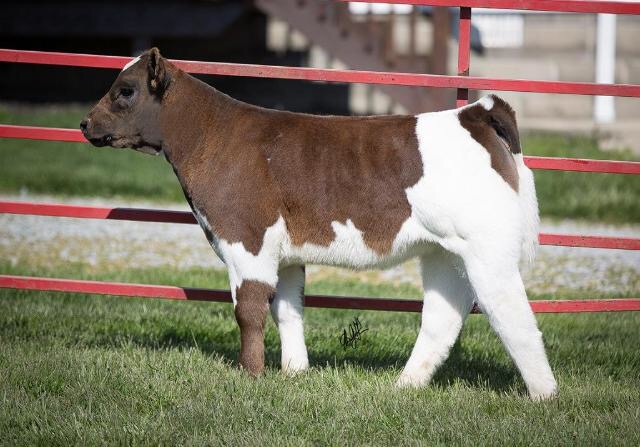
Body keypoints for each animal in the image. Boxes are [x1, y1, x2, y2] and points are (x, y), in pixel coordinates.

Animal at [81, 48, 557, 400]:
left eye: (125, 91)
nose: (85, 123)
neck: (212, 138)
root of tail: (473, 113)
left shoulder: (247, 240)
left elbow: (249, 310)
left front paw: (250, 376)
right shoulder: (286, 252)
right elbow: (288, 308)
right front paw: (294, 372)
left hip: (487, 248)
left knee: (513, 314)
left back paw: (544, 395)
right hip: (445, 252)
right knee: (443, 316)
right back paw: (404, 386)